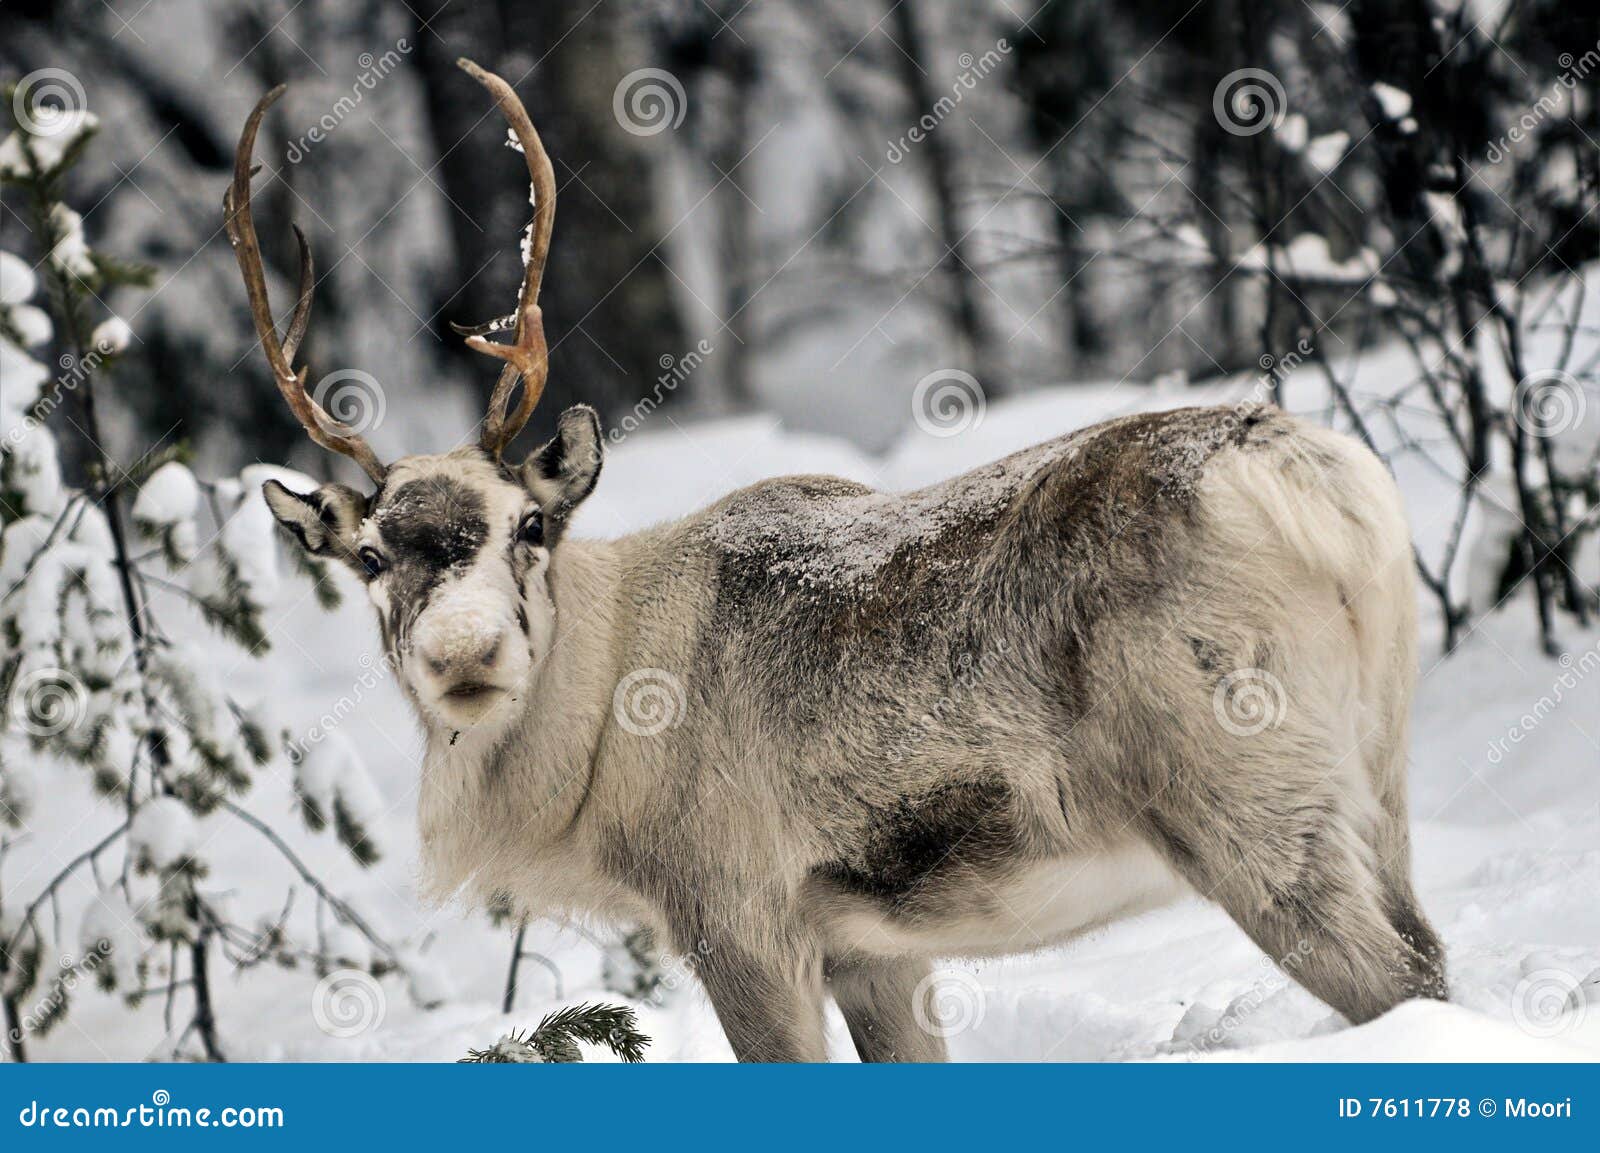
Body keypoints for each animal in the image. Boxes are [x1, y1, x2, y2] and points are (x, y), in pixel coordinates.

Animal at [234, 59, 1446, 1062]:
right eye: (372, 555)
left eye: (526, 525)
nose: (464, 656)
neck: (603, 734)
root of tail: (1314, 478)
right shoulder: (873, 946)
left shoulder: (740, 918)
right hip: (1375, 780)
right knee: (1431, 958)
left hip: (1247, 804)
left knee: (1399, 985)